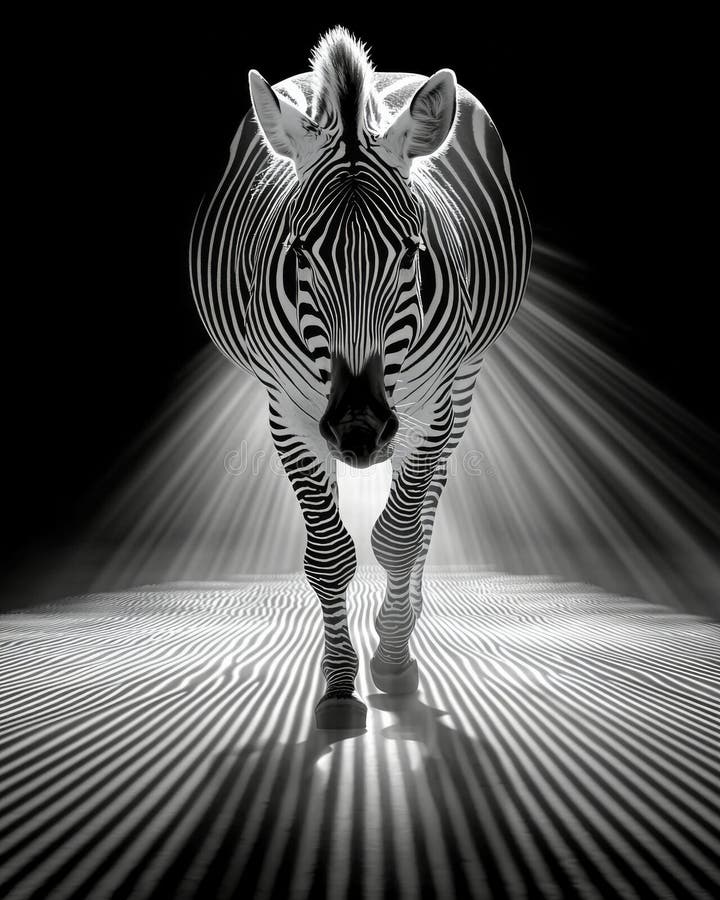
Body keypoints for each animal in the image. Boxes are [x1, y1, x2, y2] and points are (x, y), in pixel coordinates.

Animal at [191, 28, 531, 729]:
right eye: (299, 252)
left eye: (411, 252)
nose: (359, 430)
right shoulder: (288, 414)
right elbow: (329, 556)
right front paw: (340, 686)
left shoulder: (429, 409)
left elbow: (397, 538)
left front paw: (394, 663)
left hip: (464, 382)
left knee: (432, 498)